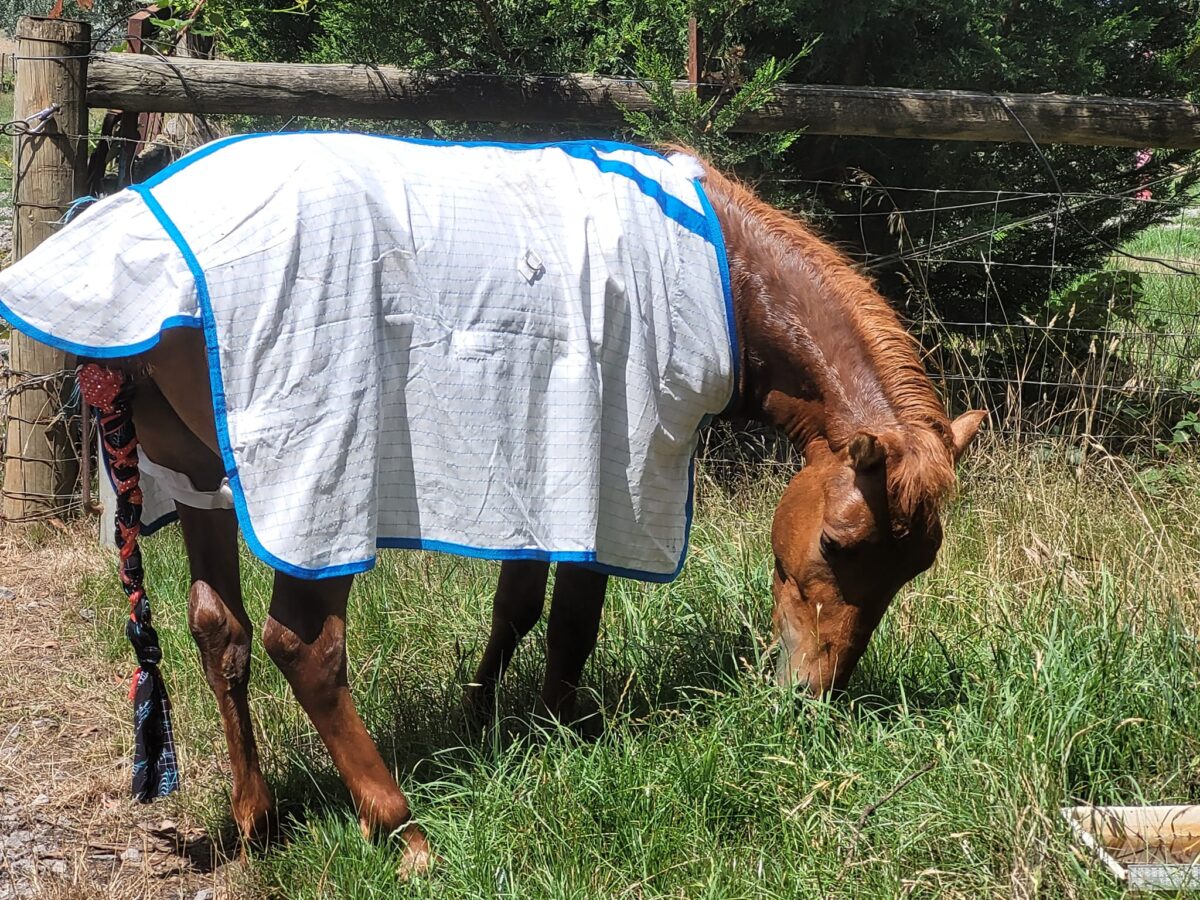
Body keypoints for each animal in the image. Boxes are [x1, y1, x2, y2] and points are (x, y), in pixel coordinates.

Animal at [1, 136, 983, 873]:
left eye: (914, 569)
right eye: (840, 542)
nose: (811, 697)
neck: (719, 271)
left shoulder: (543, 469)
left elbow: (516, 604)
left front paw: (486, 719)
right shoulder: (611, 471)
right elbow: (571, 622)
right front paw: (564, 730)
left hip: (203, 478)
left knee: (221, 630)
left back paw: (257, 818)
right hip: (323, 485)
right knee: (304, 647)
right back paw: (401, 828)